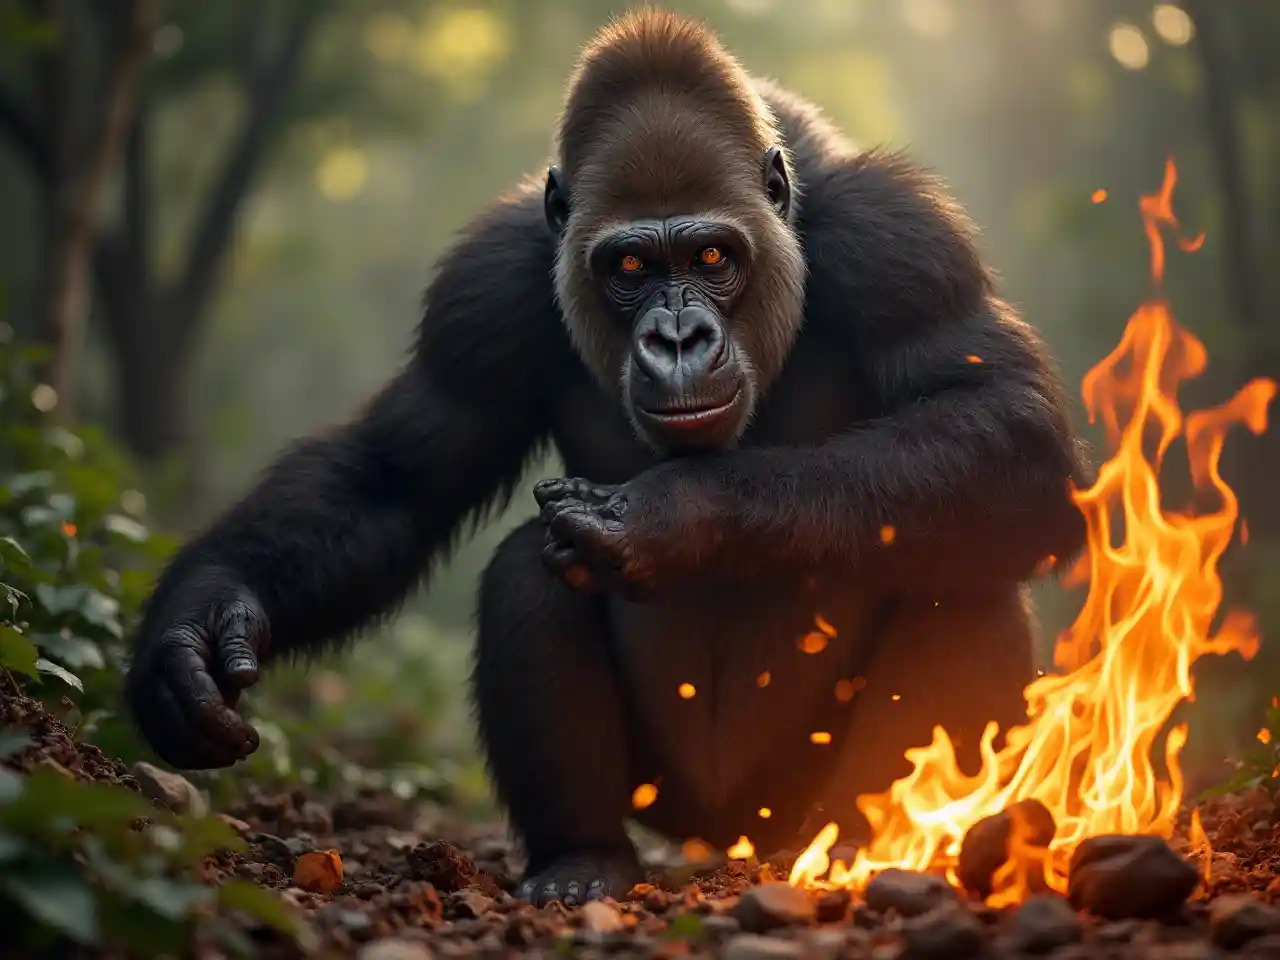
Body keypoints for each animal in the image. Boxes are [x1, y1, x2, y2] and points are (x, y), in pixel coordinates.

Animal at [124, 10, 1089, 907]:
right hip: (668, 803)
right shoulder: (486, 287)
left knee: (960, 562)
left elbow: (1007, 428)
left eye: (711, 256)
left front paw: (675, 518)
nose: (677, 337)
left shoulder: (903, 239)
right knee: (533, 564)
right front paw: (199, 623)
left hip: (789, 805)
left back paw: (862, 843)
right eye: (630, 267)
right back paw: (582, 857)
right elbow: (391, 481)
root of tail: (729, 841)